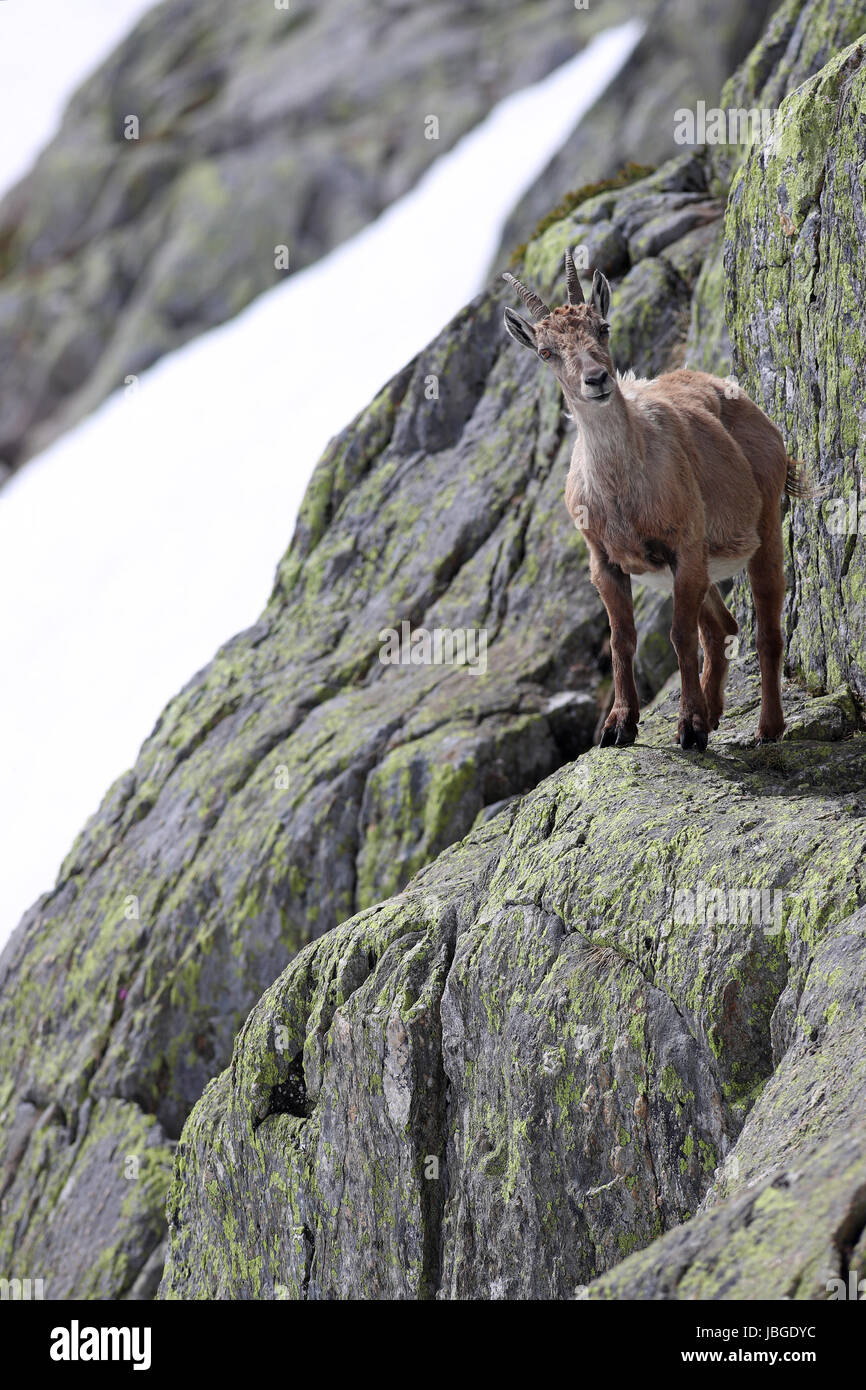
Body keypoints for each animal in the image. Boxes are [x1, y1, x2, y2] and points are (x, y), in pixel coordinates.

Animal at [502, 251, 811, 751]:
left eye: (603, 326)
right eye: (546, 351)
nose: (596, 380)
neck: (621, 491)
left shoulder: (684, 547)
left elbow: (679, 636)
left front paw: (689, 726)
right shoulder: (606, 562)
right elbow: (622, 640)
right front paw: (619, 725)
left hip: (760, 533)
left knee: (765, 631)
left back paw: (768, 727)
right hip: (695, 568)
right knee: (721, 628)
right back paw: (715, 710)